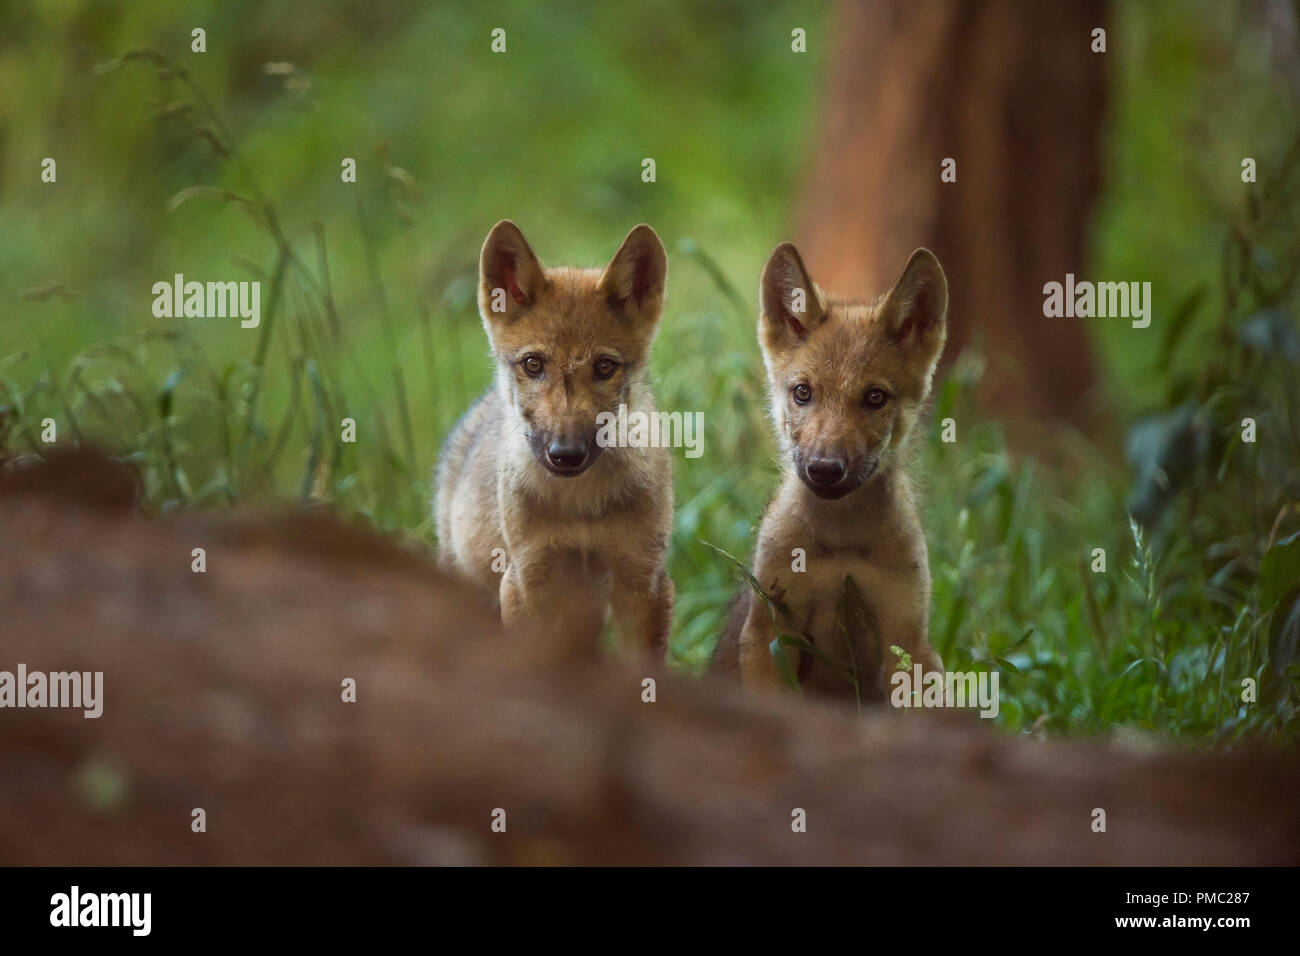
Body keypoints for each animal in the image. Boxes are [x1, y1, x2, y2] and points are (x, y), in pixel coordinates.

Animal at [435, 220, 674, 656]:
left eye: (604, 367)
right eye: (533, 364)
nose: (566, 454)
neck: (580, 506)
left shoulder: (643, 582)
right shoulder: (527, 579)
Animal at [714, 242, 947, 701]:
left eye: (875, 397)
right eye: (803, 392)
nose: (824, 469)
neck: (843, 542)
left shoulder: (908, 640)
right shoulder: (770, 630)